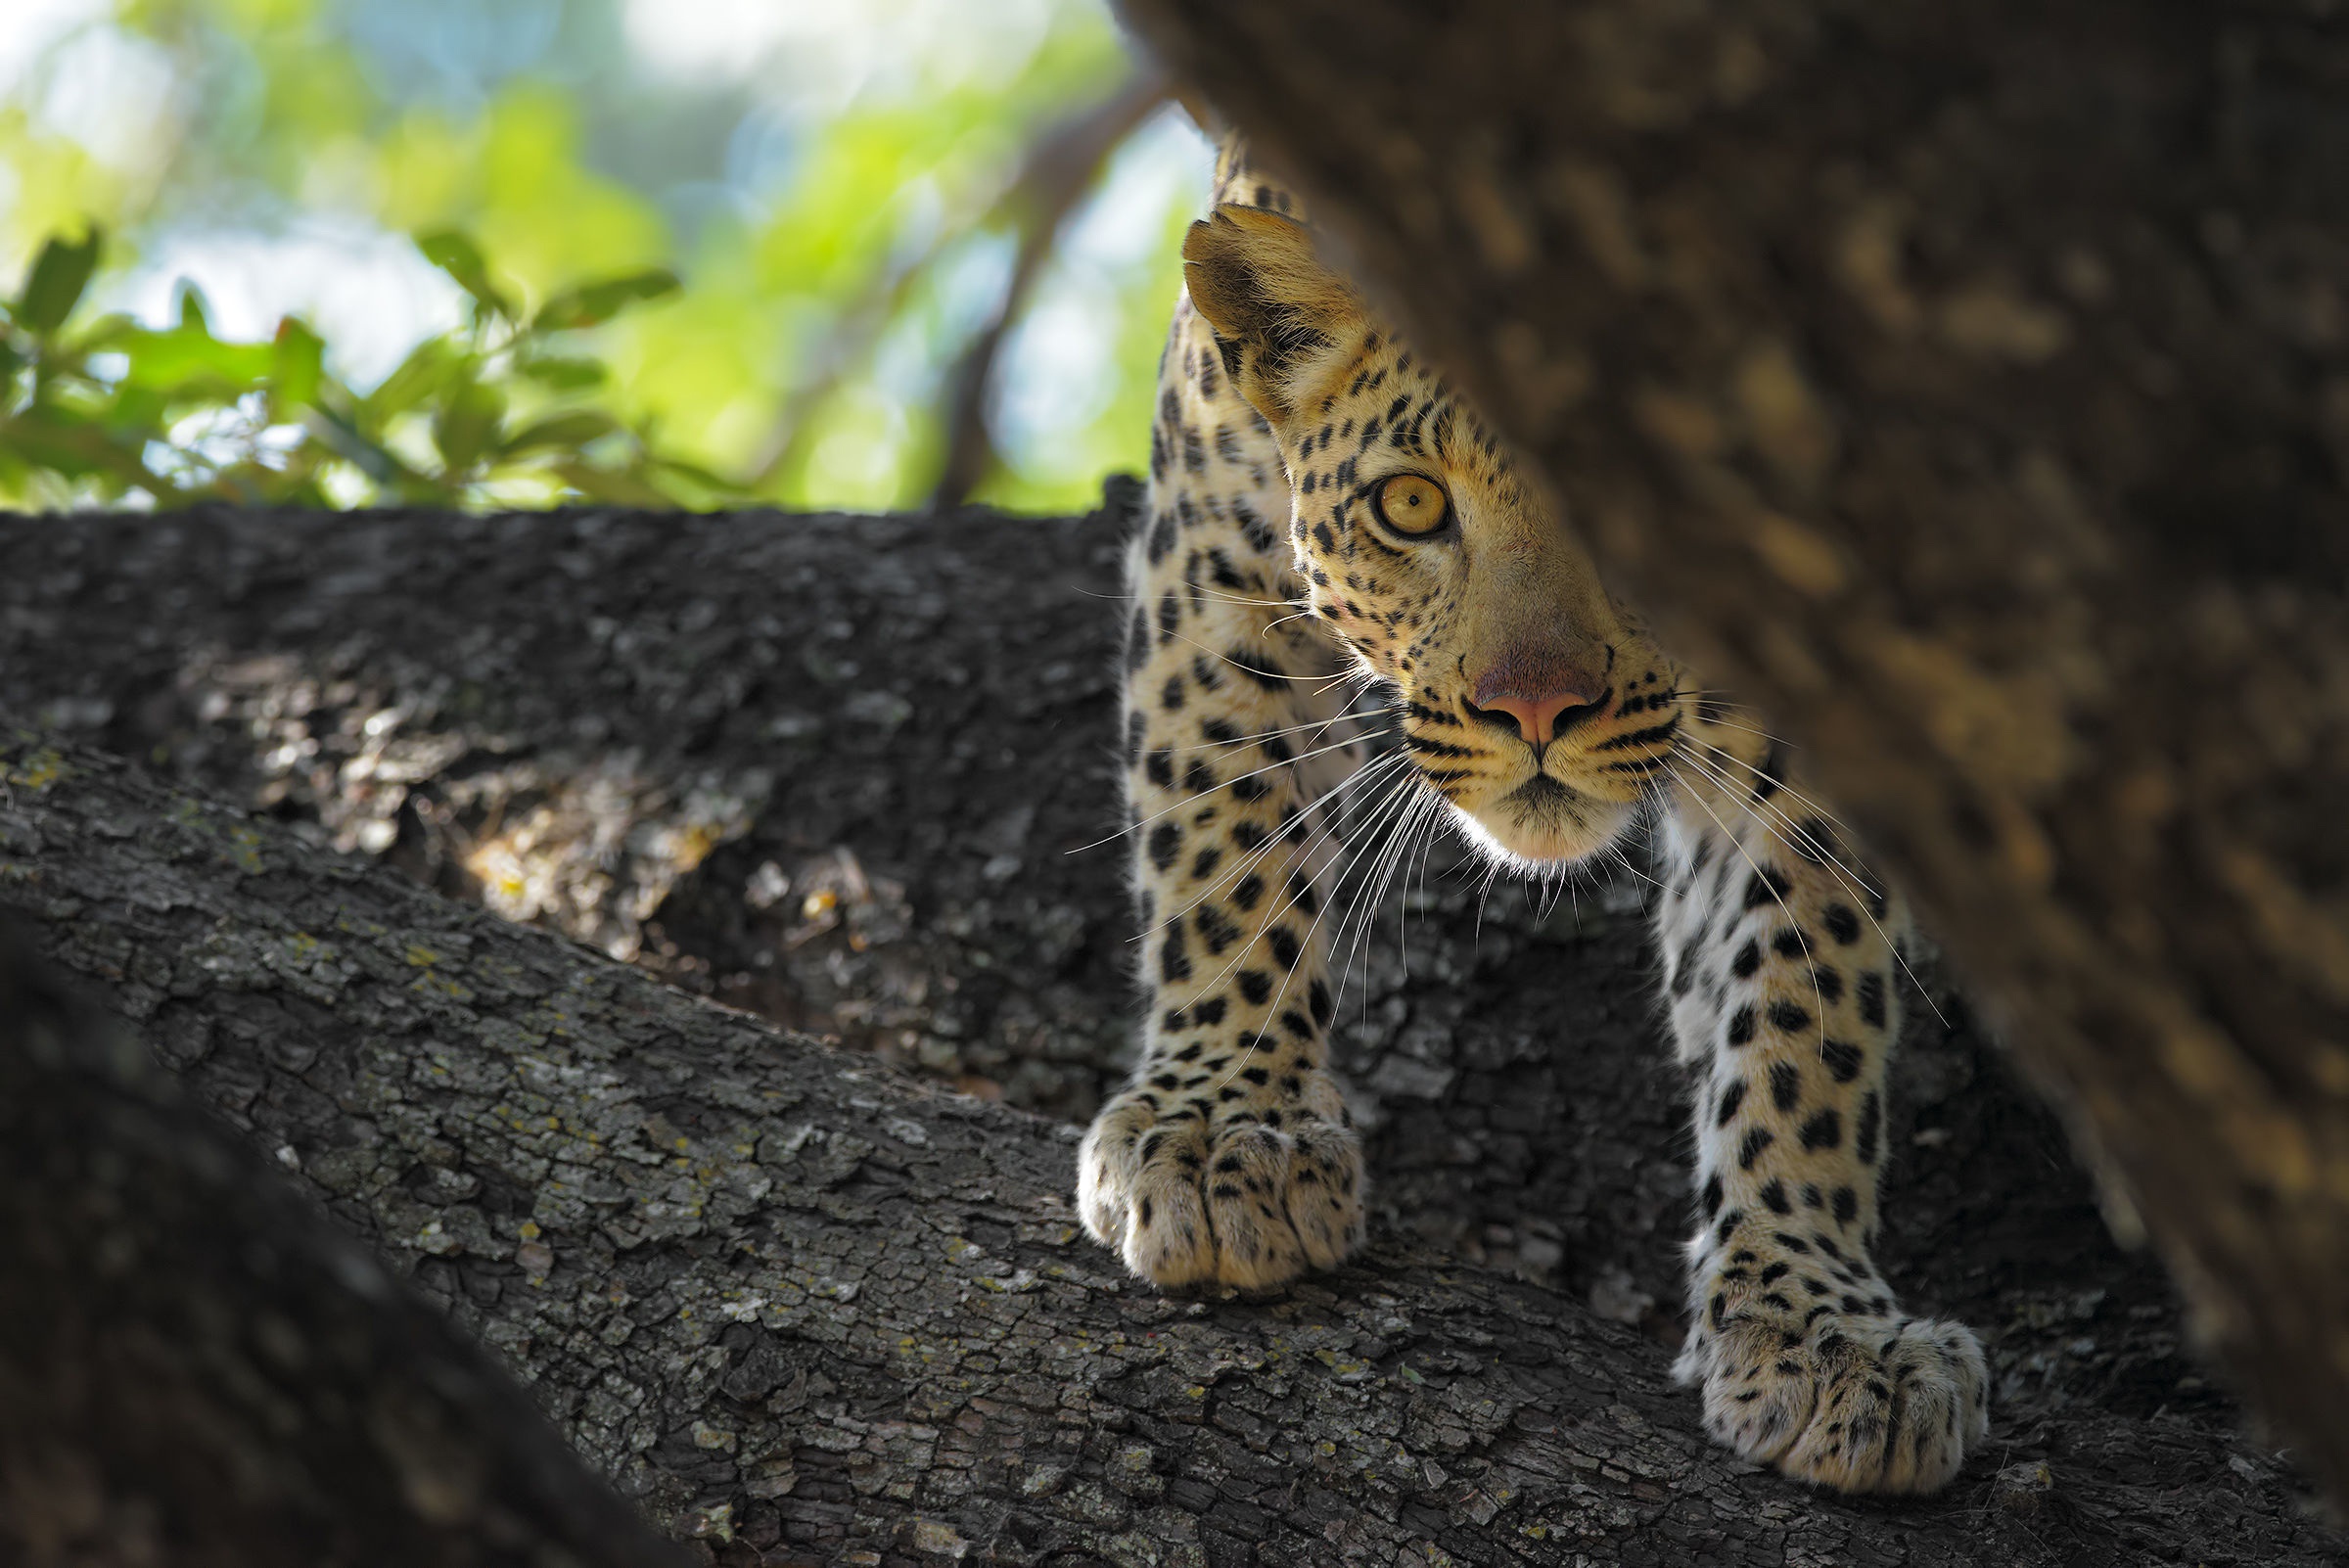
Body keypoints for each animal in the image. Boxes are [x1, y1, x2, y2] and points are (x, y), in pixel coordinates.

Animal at [1074, 136, 1991, 1496]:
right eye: (1411, 506)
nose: (1536, 709)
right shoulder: (1210, 533)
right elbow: (1222, 837)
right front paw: (1220, 1128)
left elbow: (1804, 993)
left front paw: (1818, 1324)